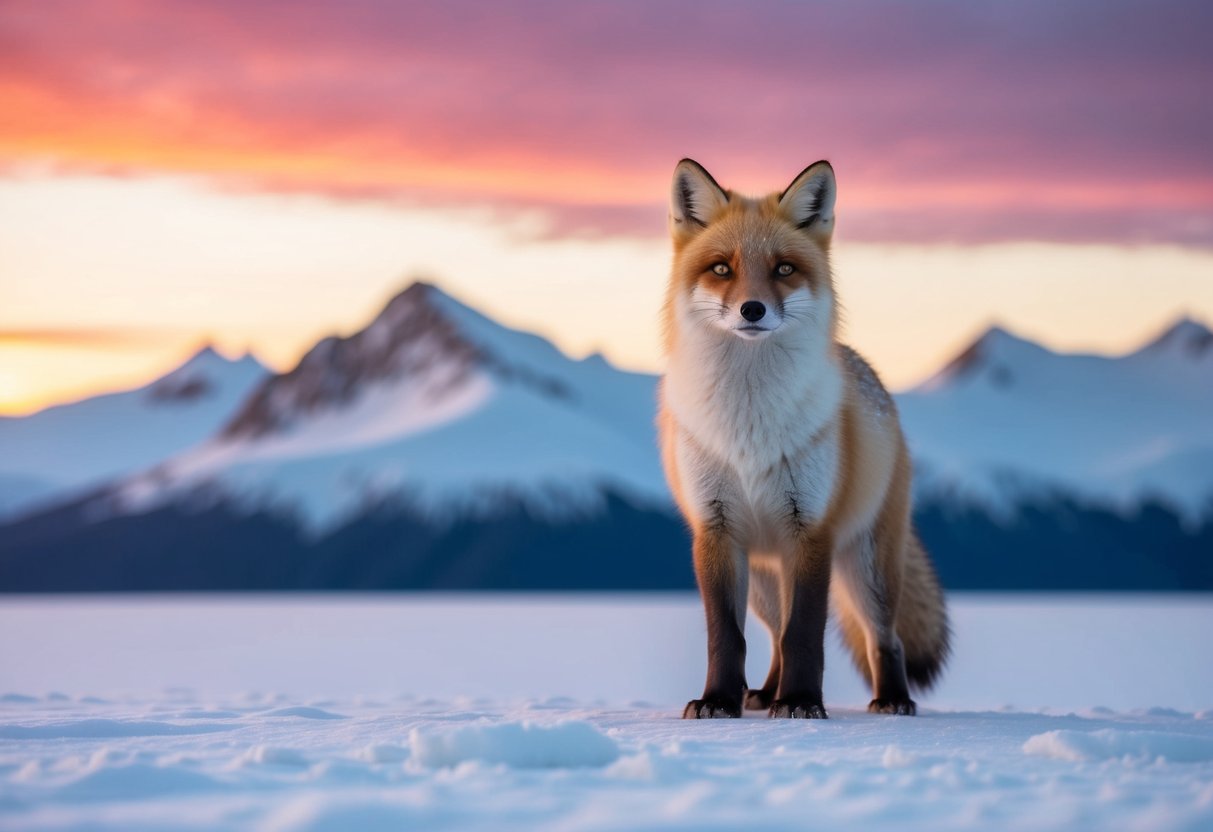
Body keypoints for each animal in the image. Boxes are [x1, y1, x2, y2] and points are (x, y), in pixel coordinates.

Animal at [658, 159, 950, 719]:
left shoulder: (811, 530)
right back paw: (762, 693)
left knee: (884, 637)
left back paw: (891, 698)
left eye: (784, 269)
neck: (748, 424)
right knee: (772, 636)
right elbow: (726, 638)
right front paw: (718, 700)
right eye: (722, 269)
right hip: (763, 577)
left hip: (866, 568)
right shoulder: (716, 530)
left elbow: (806, 635)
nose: (752, 310)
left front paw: (800, 702)